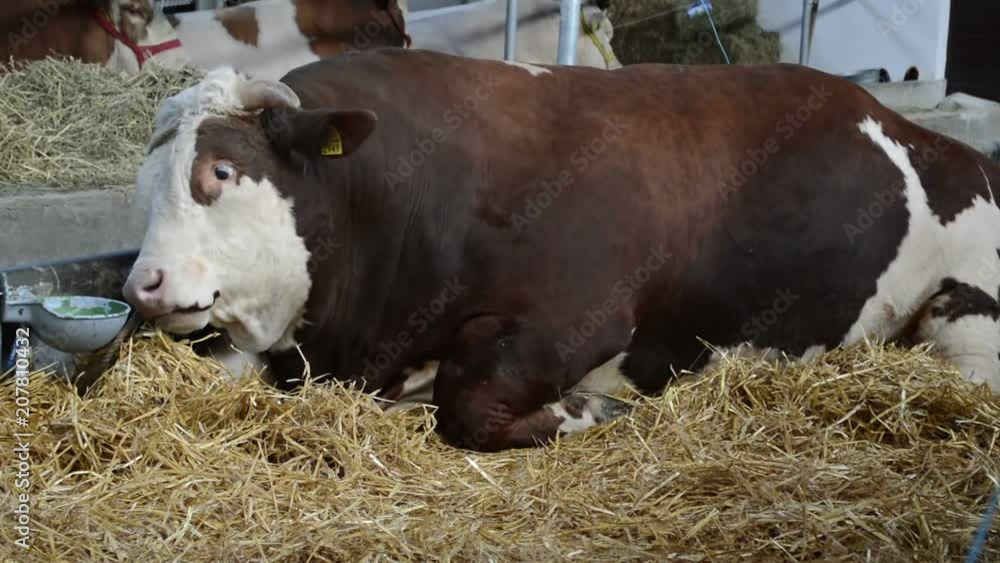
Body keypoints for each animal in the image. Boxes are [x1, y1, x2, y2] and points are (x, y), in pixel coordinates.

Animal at [121, 48, 1000, 453]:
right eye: (143, 181)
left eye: (219, 171)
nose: (144, 284)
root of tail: (950, 146)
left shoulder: (577, 317)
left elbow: (470, 404)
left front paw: (586, 409)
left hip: (971, 312)